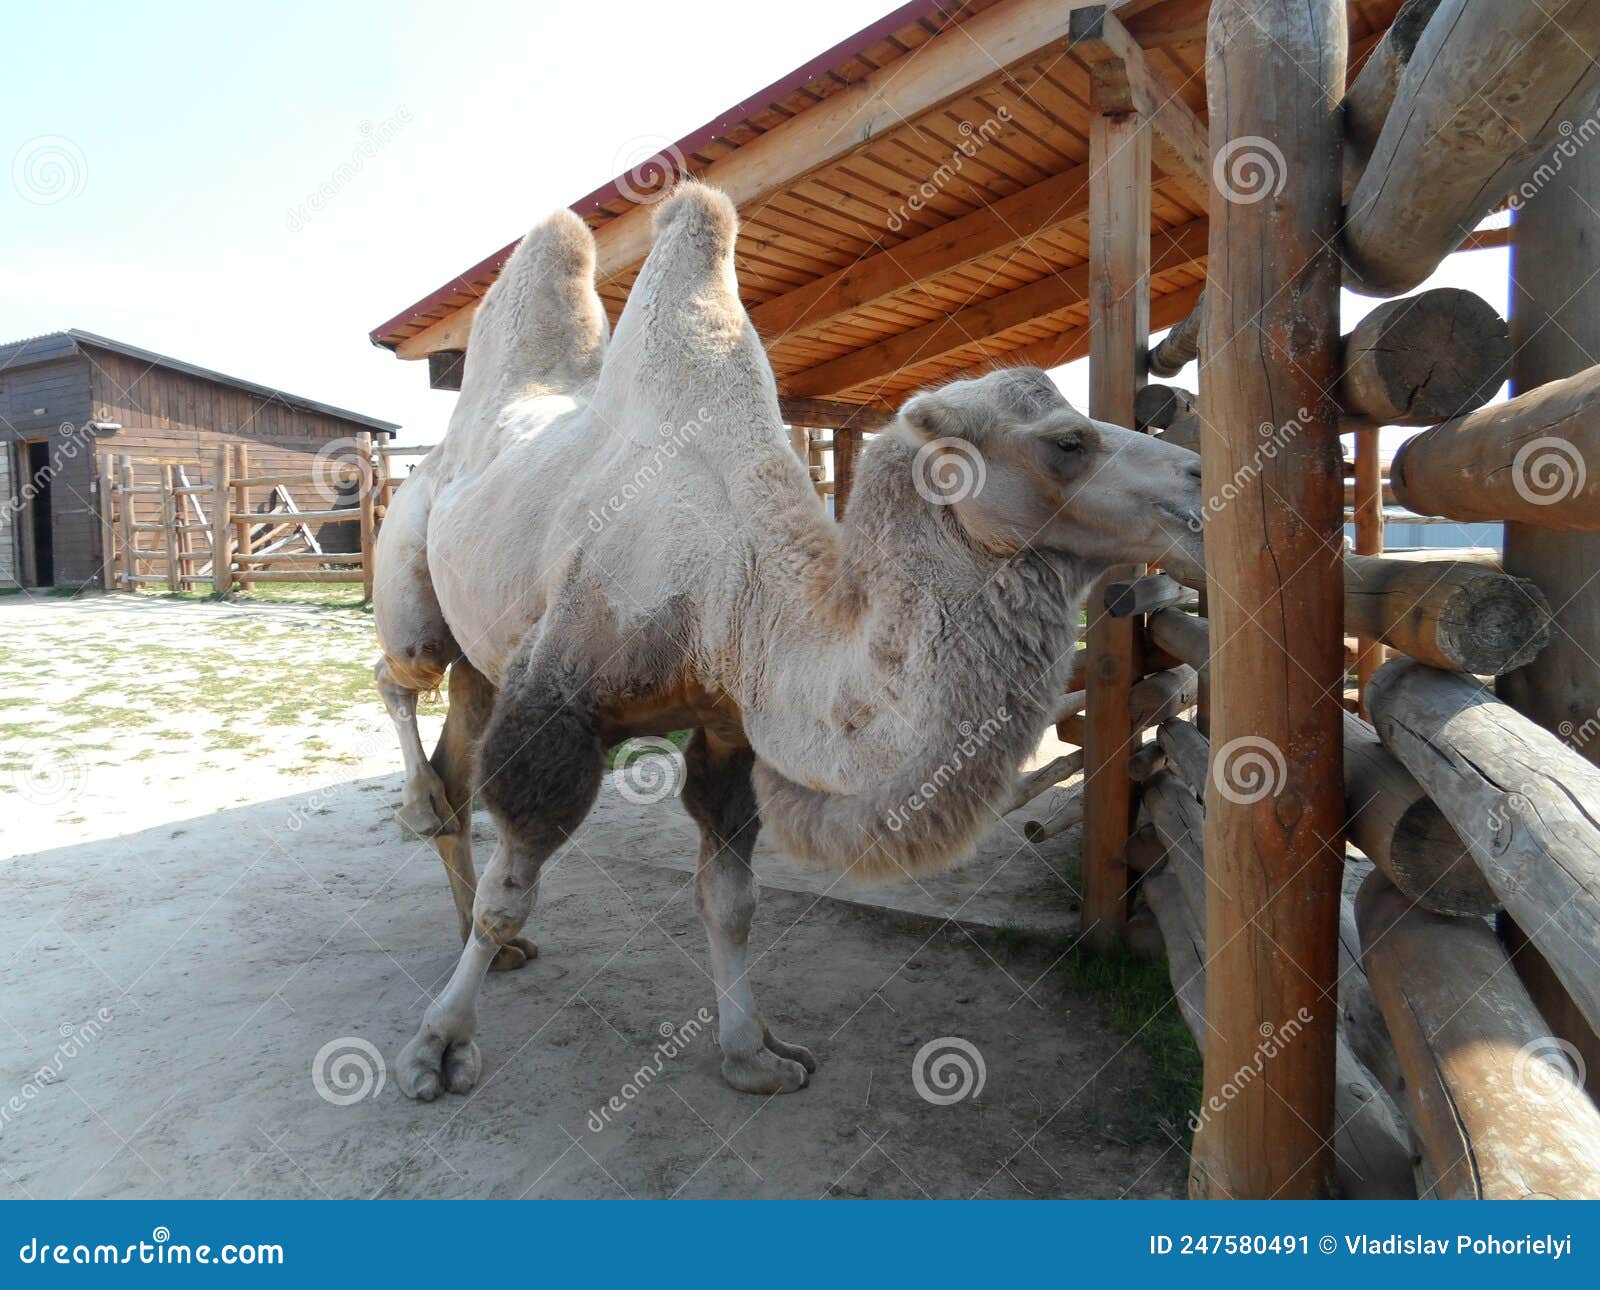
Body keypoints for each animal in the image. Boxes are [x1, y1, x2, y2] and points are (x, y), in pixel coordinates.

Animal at [372, 182, 1205, 1102]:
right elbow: (511, 887)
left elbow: (731, 898)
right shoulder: (559, 692)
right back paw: (421, 817)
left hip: (486, 657)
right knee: (399, 675)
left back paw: (476, 923)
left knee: (458, 762)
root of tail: (431, 460)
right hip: (415, 577)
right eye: (1067, 442)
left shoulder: (728, 723)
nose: (1200, 478)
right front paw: (437, 1048)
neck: (732, 588)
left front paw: (753, 1054)